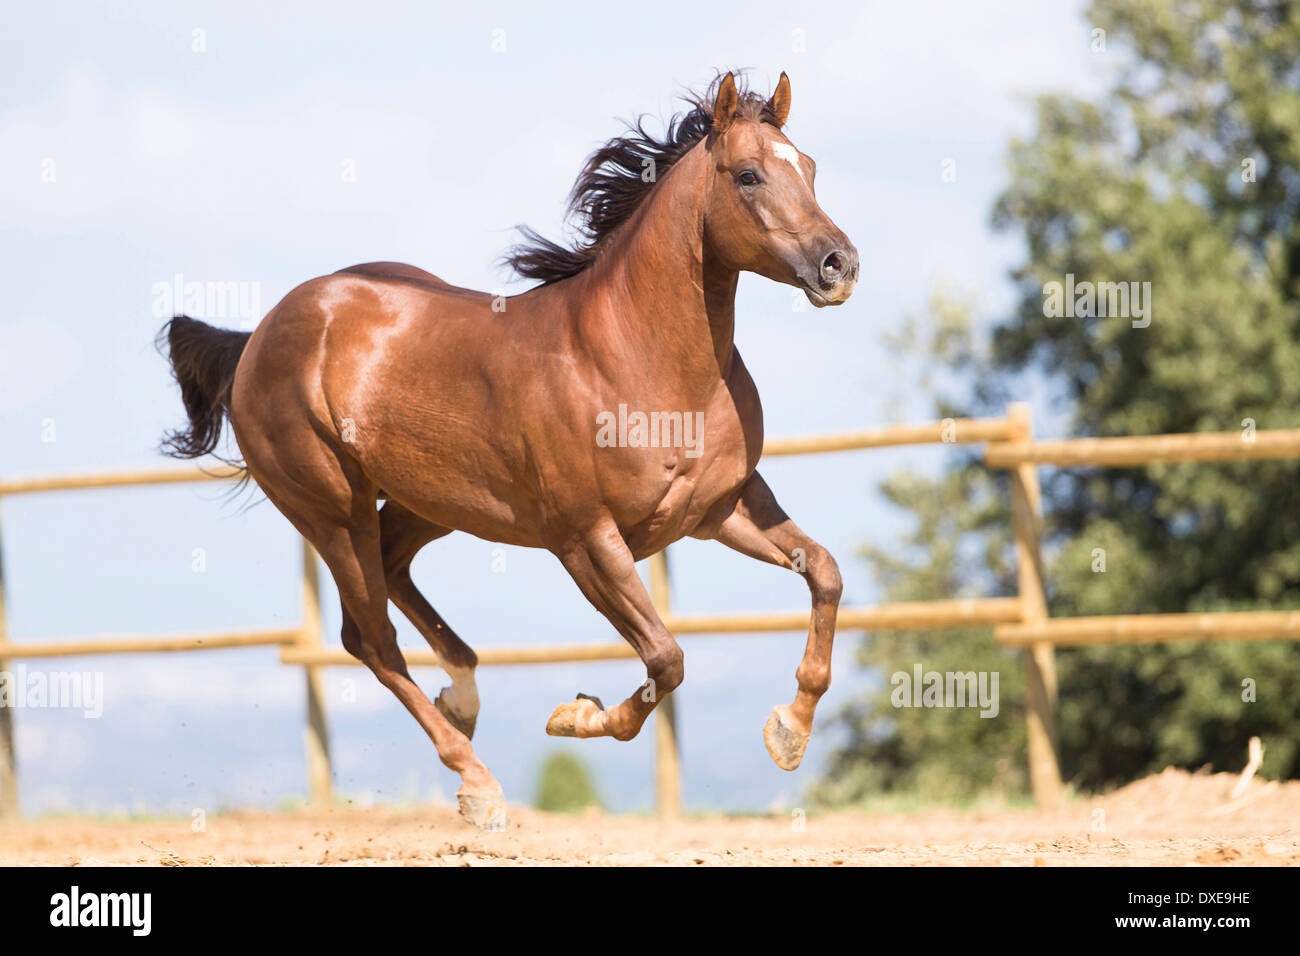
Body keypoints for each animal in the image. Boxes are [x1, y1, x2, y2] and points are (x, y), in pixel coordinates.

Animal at [159, 71, 858, 830]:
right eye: (749, 175)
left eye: (810, 167)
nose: (839, 265)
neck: (643, 361)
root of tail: (257, 337)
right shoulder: (585, 539)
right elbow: (665, 657)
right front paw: (576, 716)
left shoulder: (721, 509)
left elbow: (824, 572)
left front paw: (789, 731)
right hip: (331, 510)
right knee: (369, 637)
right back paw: (477, 784)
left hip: (432, 502)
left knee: (395, 572)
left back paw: (462, 698)